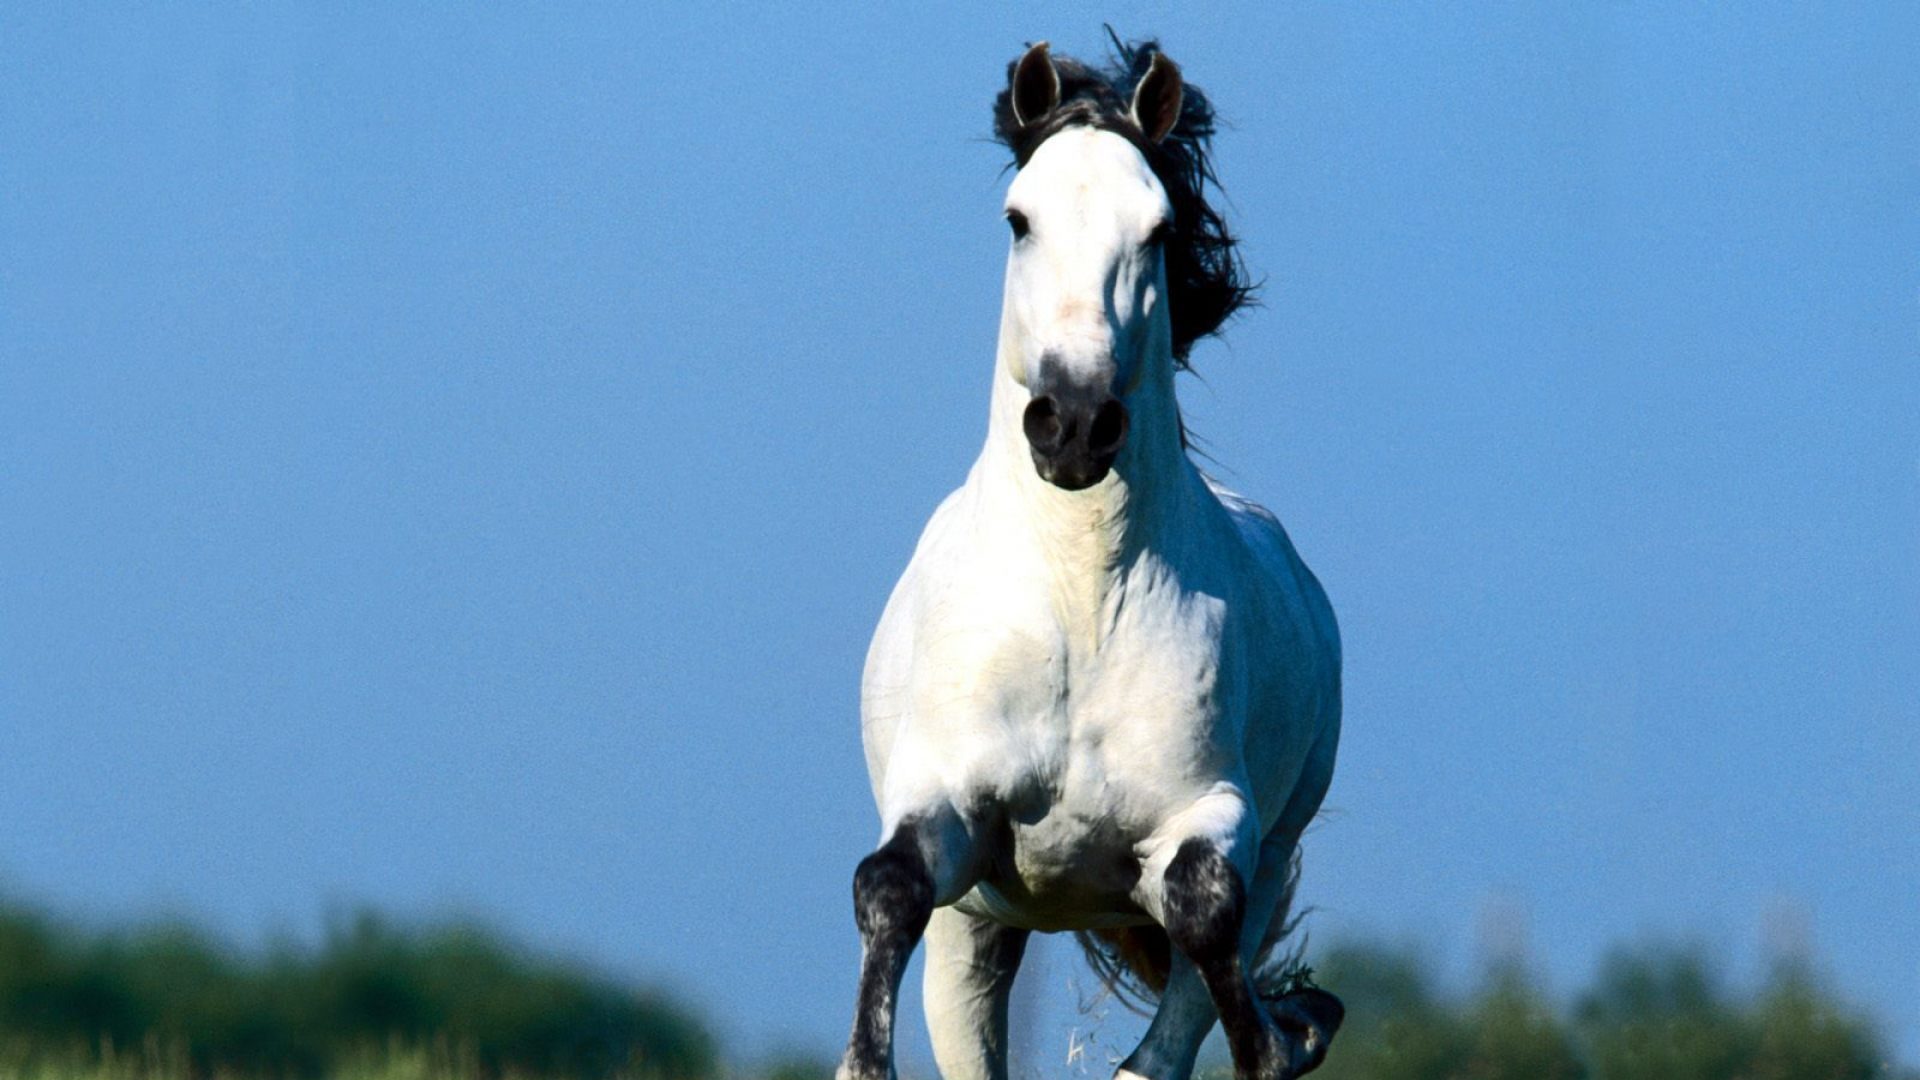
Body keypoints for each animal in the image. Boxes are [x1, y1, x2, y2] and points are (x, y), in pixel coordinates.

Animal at [838, 38, 1344, 1080]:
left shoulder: (1213, 817)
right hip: (977, 933)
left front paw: (1279, 1041)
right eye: (1019, 218)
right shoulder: (944, 810)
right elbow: (886, 884)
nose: (1072, 423)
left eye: (1155, 228)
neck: (1081, 599)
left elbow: (1202, 907)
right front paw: (861, 1062)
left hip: (1276, 848)